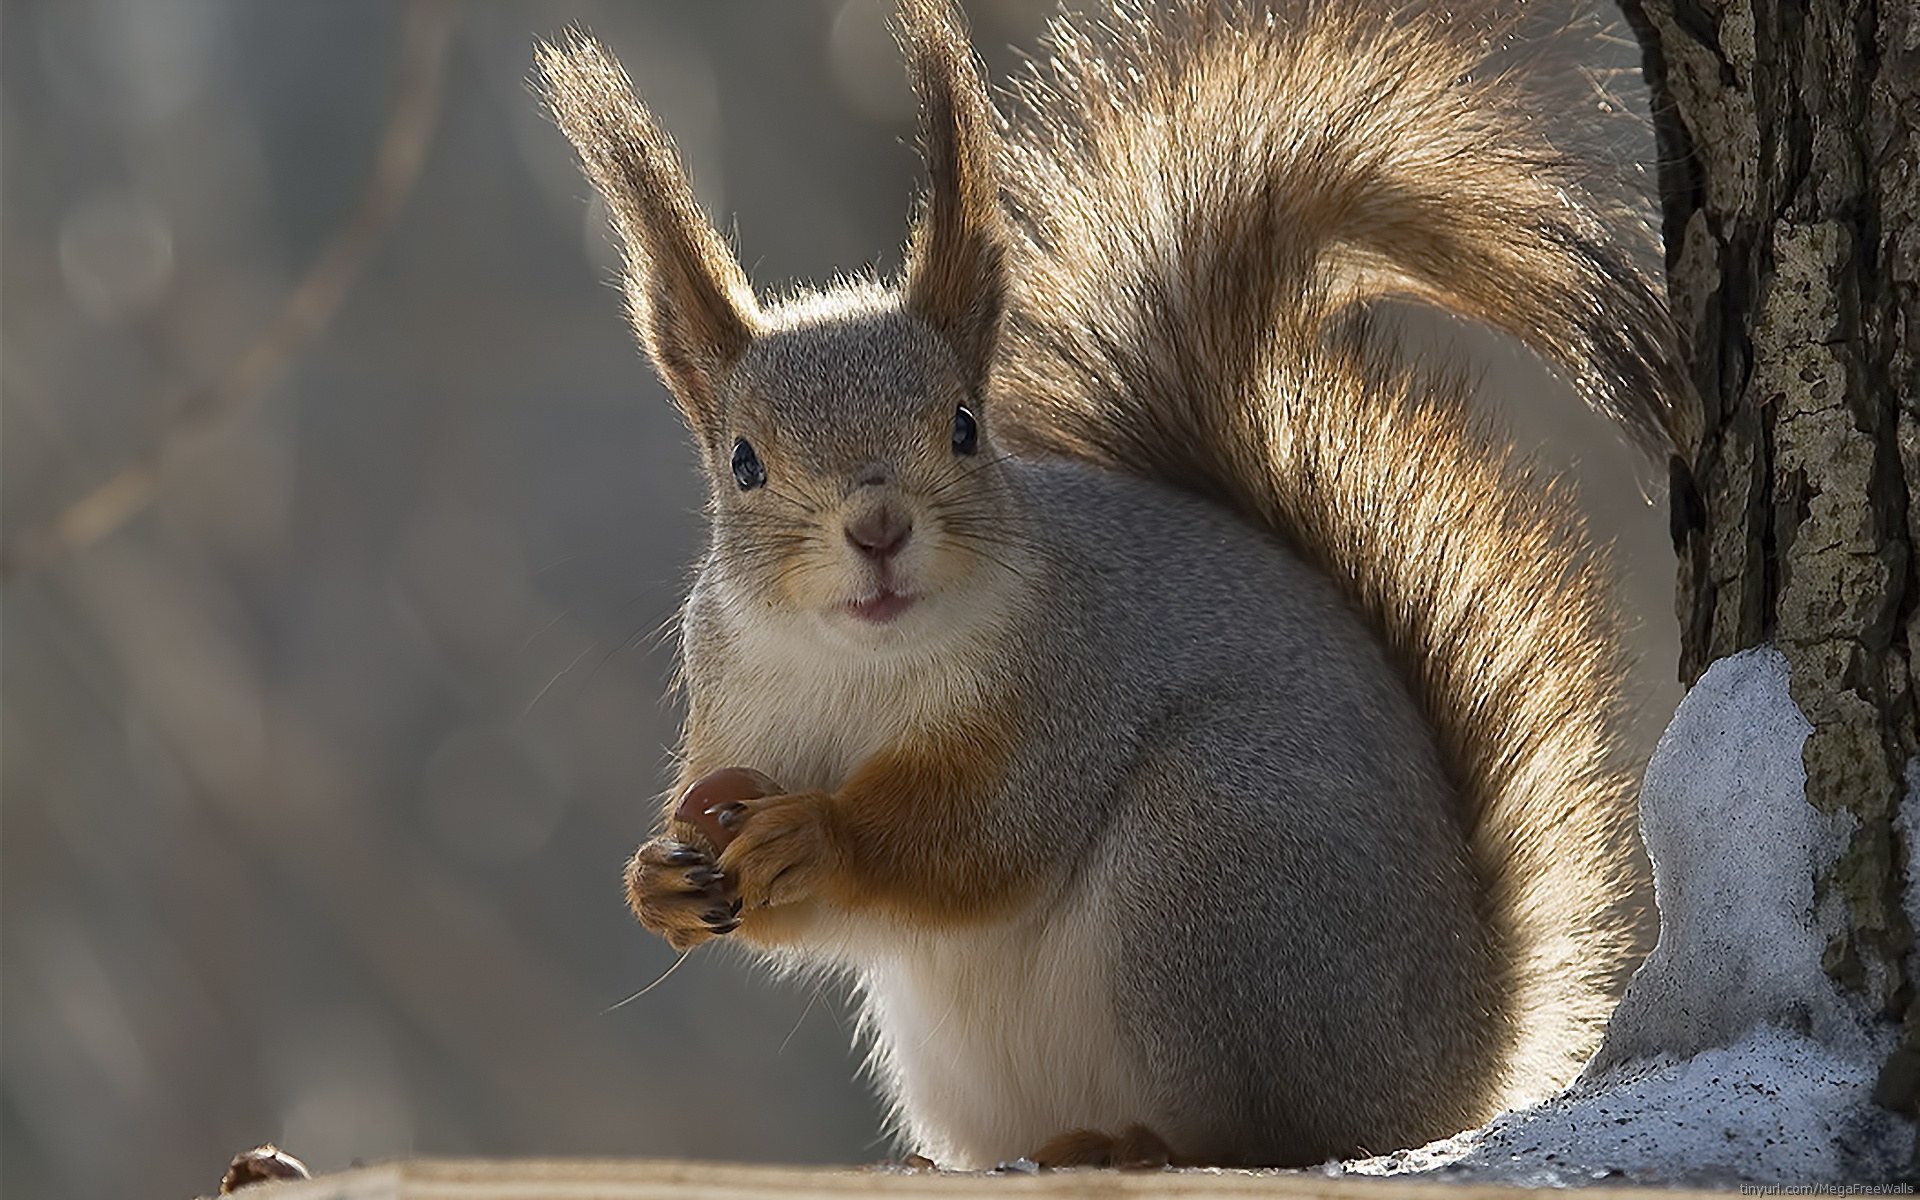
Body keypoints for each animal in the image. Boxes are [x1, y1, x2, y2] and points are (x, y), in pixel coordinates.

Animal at [538, 0, 1686, 1171]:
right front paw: (659, 881)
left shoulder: (1068, 686)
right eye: (743, 461)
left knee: (1275, 1127)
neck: (863, 665)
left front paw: (822, 835)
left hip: (1215, 857)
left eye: (965, 426)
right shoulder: (738, 711)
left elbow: (984, 837)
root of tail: (1465, 1056)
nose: (877, 527)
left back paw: (1134, 1144)